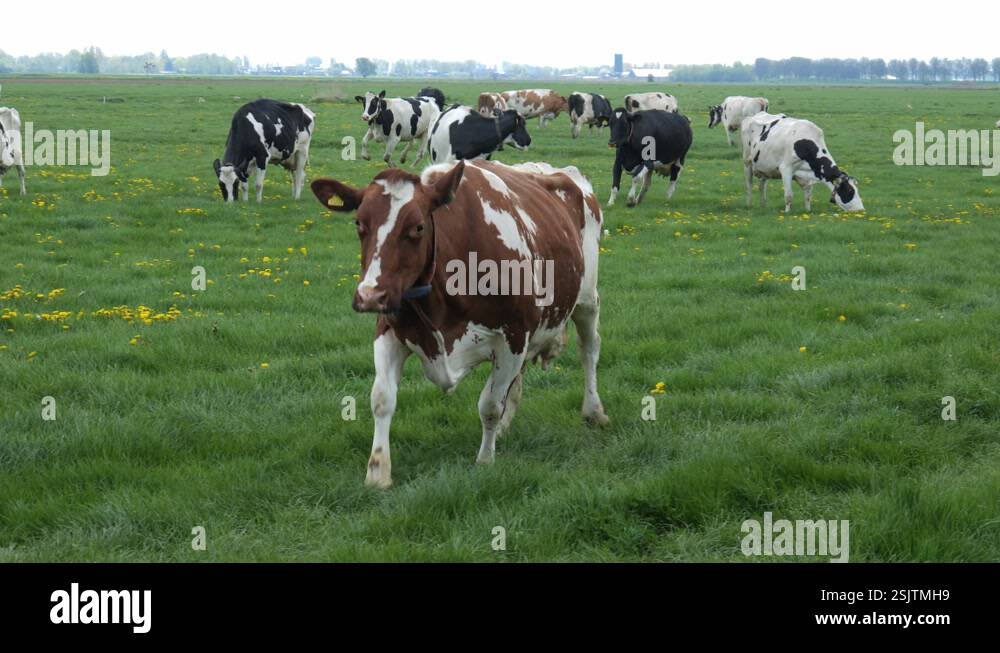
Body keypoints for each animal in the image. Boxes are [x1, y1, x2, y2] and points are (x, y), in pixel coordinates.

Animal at [309, 159, 609, 487]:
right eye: (359, 224)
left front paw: (485, 460)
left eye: (418, 227)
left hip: (587, 299)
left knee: (589, 349)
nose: (370, 296)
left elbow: (489, 405)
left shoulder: (514, 336)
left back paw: (593, 411)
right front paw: (378, 473)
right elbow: (382, 398)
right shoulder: (388, 330)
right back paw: (507, 425)